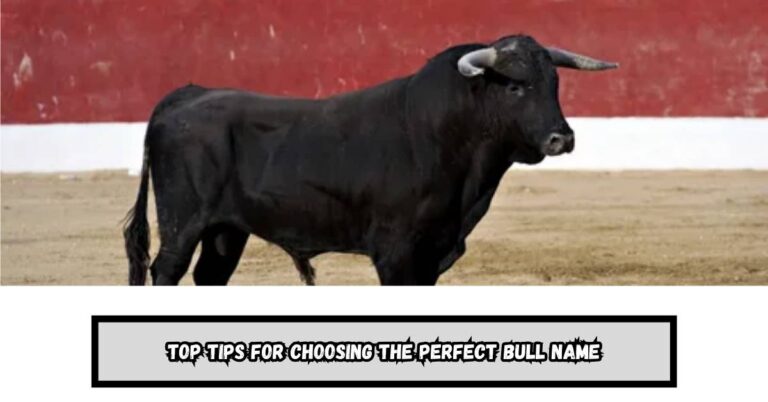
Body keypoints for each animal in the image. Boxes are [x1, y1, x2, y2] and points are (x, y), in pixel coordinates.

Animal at [123, 34, 617, 286]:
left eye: (555, 83)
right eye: (514, 86)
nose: (561, 138)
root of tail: (188, 94)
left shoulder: (432, 254)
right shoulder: (397, 254)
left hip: (226, 230)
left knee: (210, 274)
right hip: (182, 223)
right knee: (166, 270)